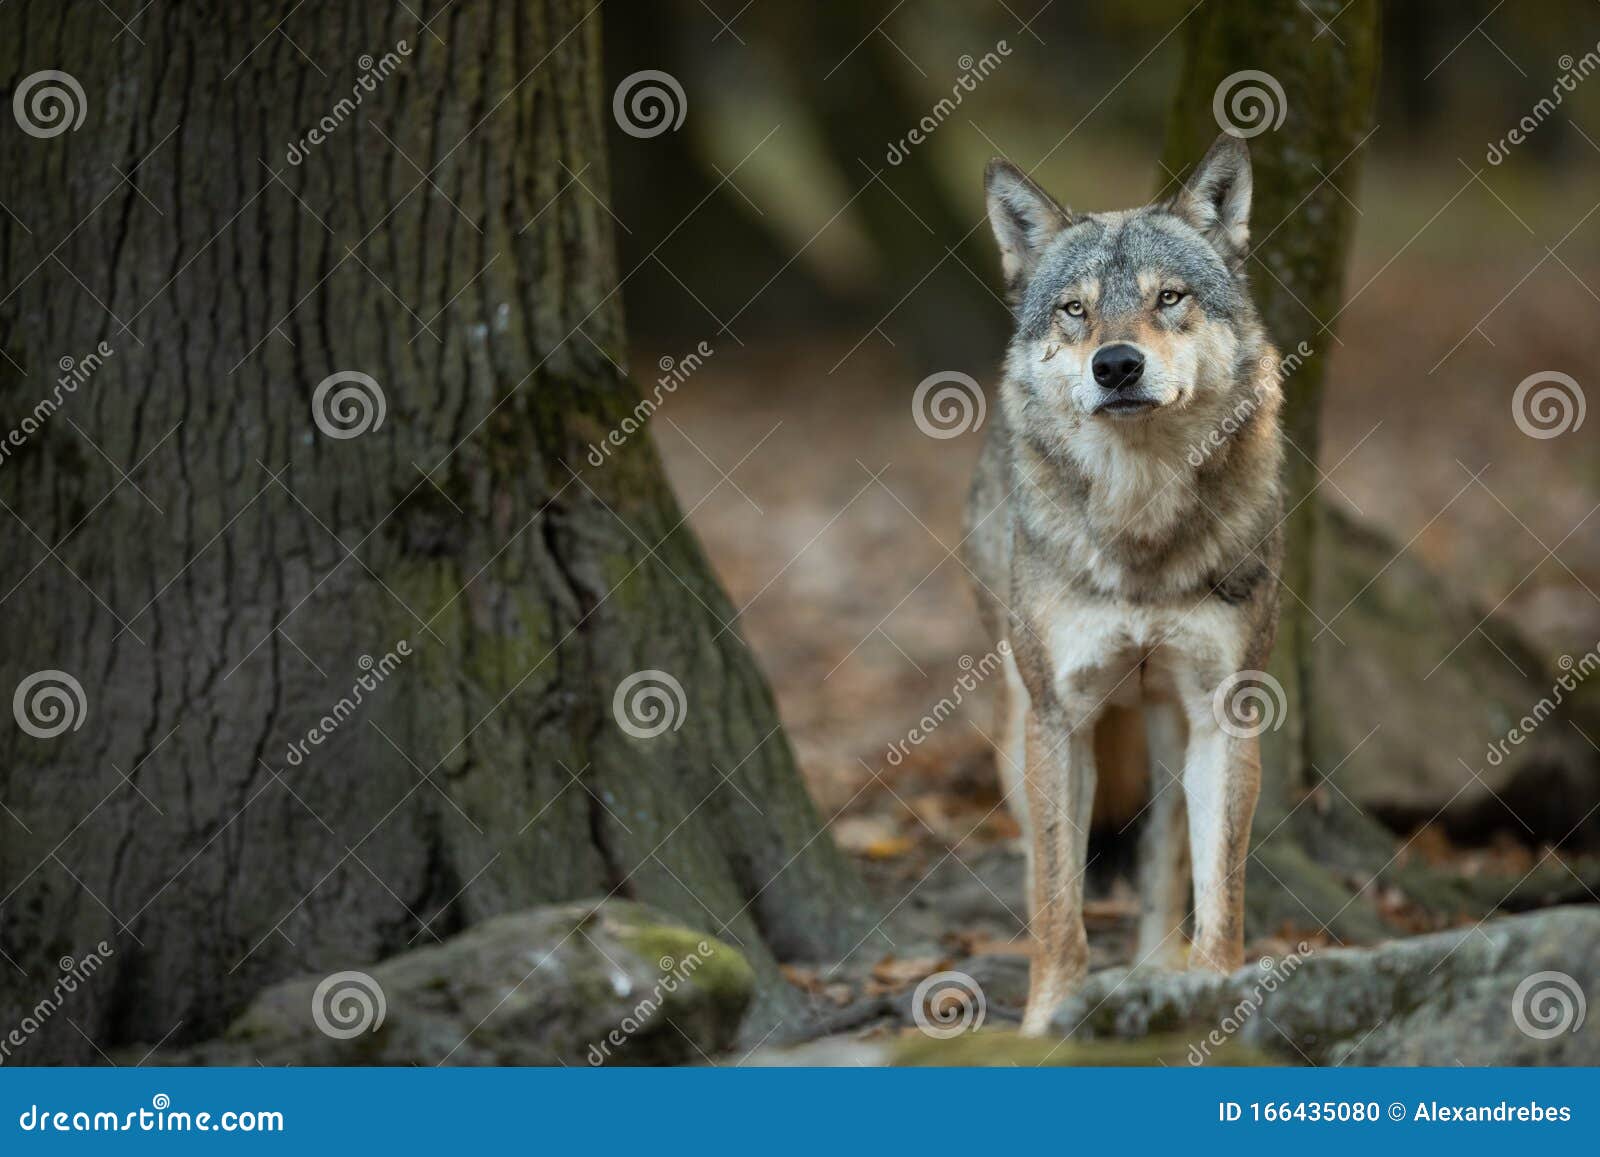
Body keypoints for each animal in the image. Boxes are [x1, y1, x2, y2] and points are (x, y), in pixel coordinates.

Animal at [964, 135, 1284, 1035]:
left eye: (1168, 297)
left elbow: (1220, 895)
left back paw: (1156, 976)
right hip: (1020, 734)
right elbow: (1056, 902)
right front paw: (1048, 1021)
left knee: (1164, 870)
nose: (1116, 364)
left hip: (1171, 731)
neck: (1140, 523)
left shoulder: (1226, 712)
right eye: (1075, 310)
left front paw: (1214, 1000)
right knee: (1045, 865)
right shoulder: (1060, 717)